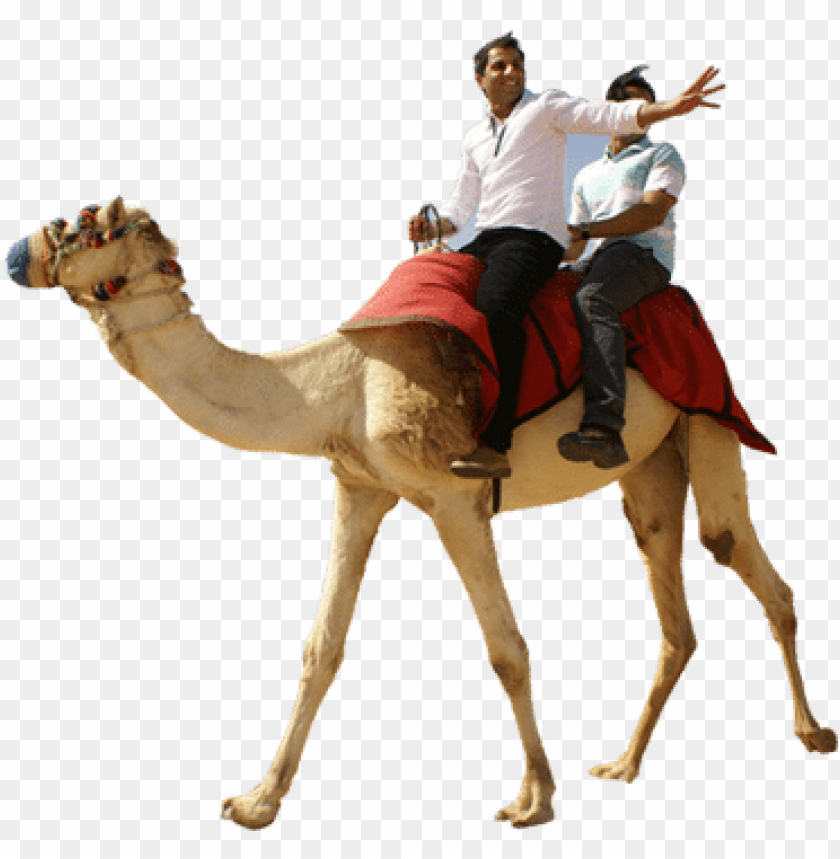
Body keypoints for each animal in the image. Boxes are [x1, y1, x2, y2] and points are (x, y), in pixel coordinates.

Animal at [8, 197, 836, 830]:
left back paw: (812, 732)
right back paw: (623, 763)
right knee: (671, 594)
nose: (20, 252)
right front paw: (256, 801)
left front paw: (533, 799)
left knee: (738, 553)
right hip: (648, 464)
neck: (338, 383)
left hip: (708, 413)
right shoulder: (359, 485)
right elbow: (322, 647)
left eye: (86, 225)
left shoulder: (453, 495)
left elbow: (506, 649)